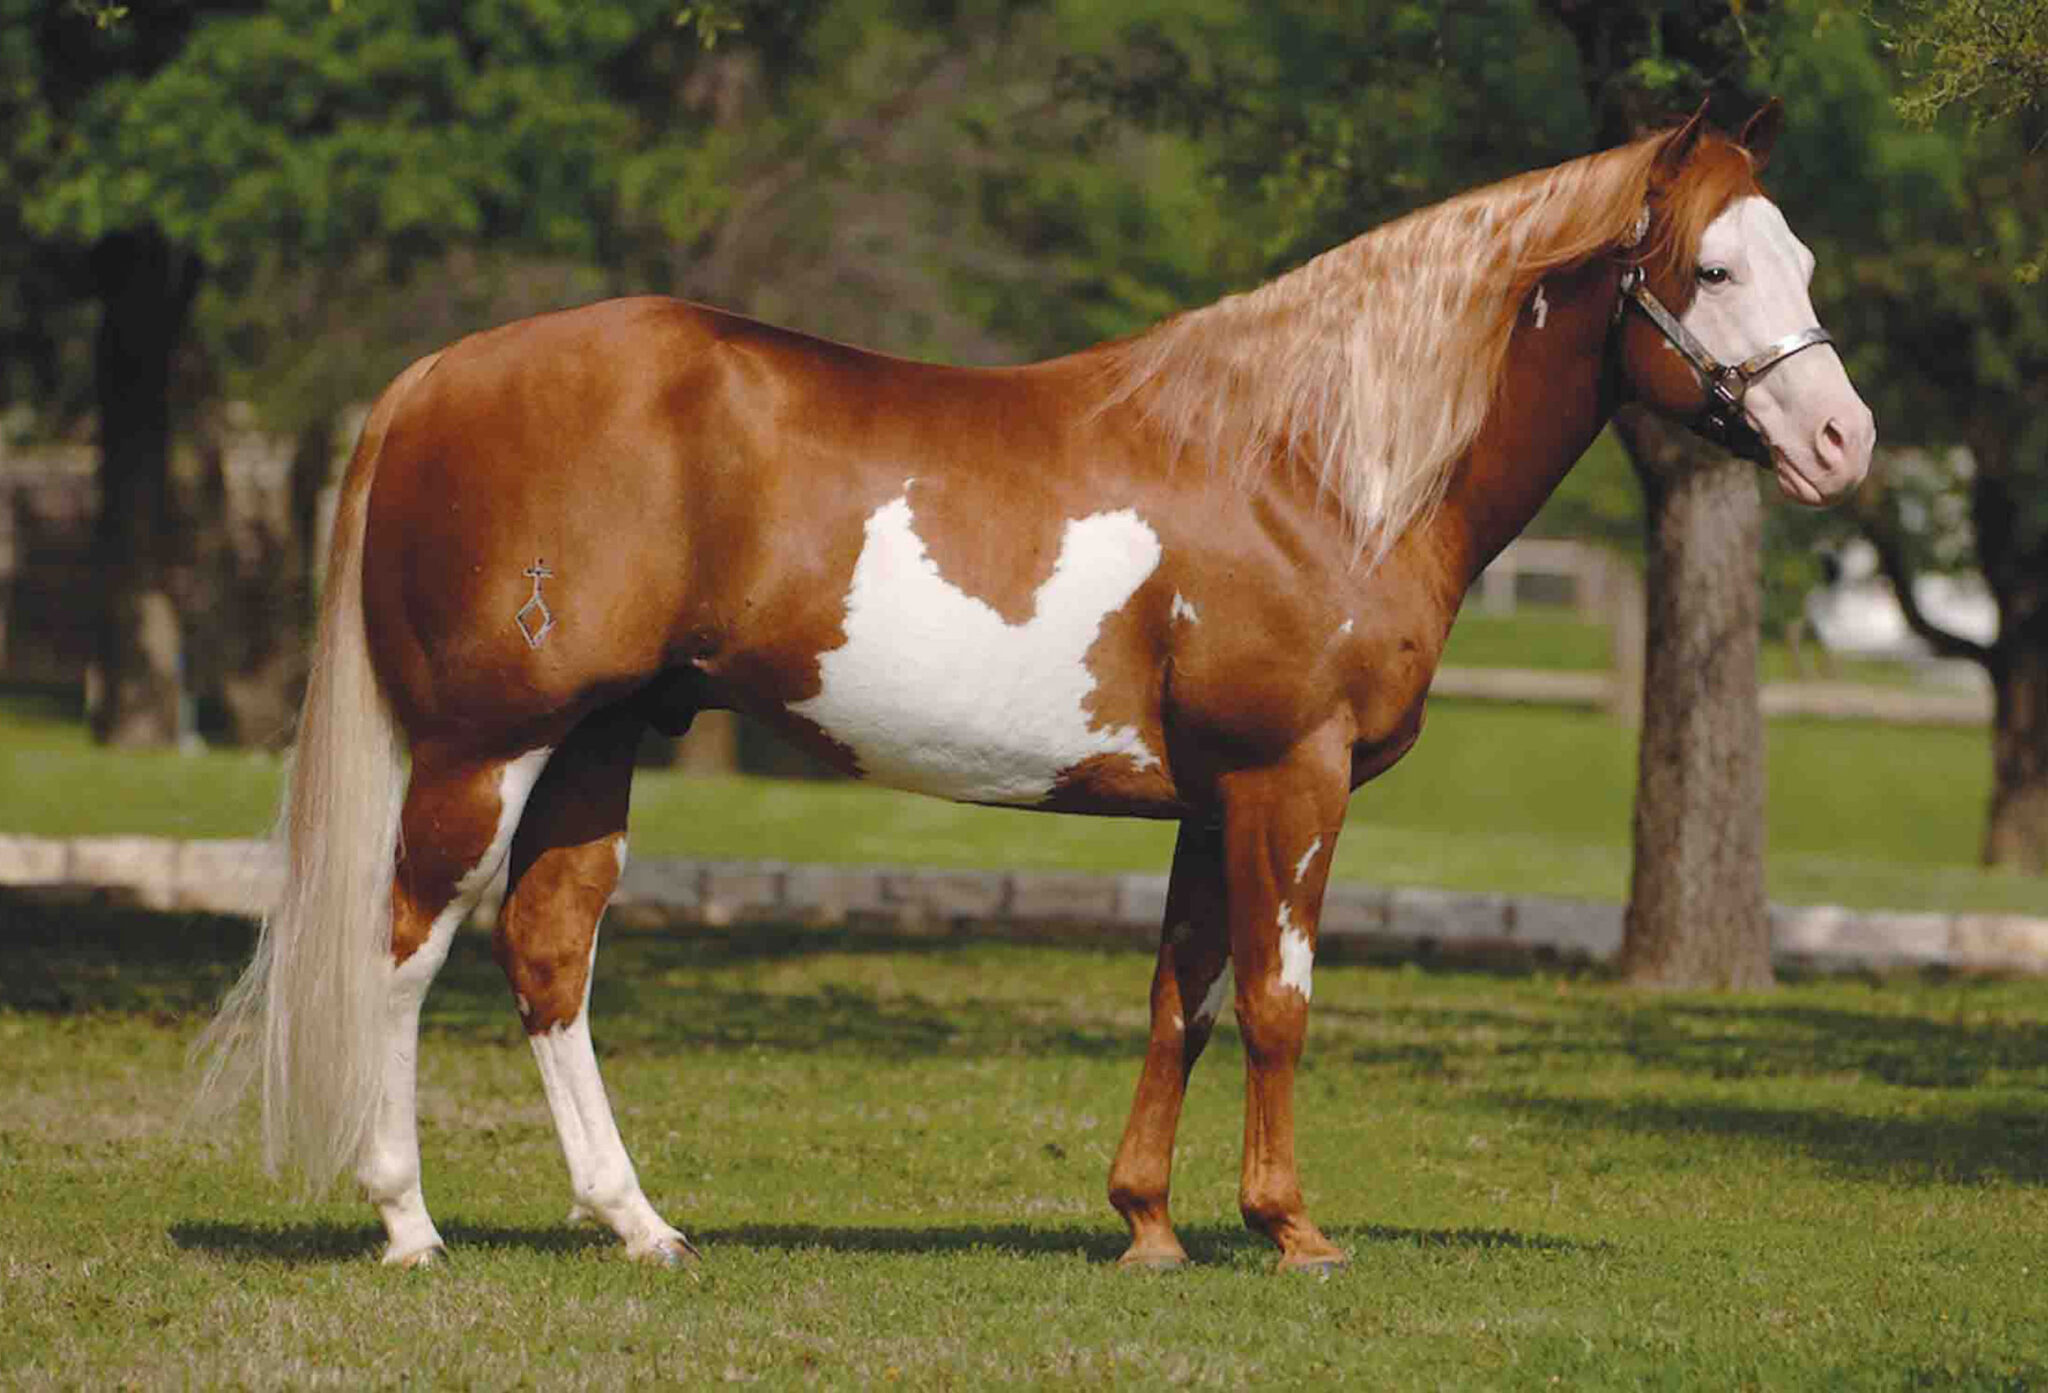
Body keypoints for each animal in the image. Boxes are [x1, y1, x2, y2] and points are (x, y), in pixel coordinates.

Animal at [197, 102, 1873, 1273]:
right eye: (1714, 264)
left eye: (1803, 259)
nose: (1844, 442)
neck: (1313, 466)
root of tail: (432, 377)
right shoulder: (1293, 774)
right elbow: (1278, 1000)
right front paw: (1293, 1231)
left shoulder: (1214, 795)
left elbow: (1181, 1000)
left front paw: (1149, 1226)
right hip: (488, 745)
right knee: (405, 946)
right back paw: (409, 1224)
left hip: (601, 741)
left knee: (550, 955)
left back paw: (640, 1224)